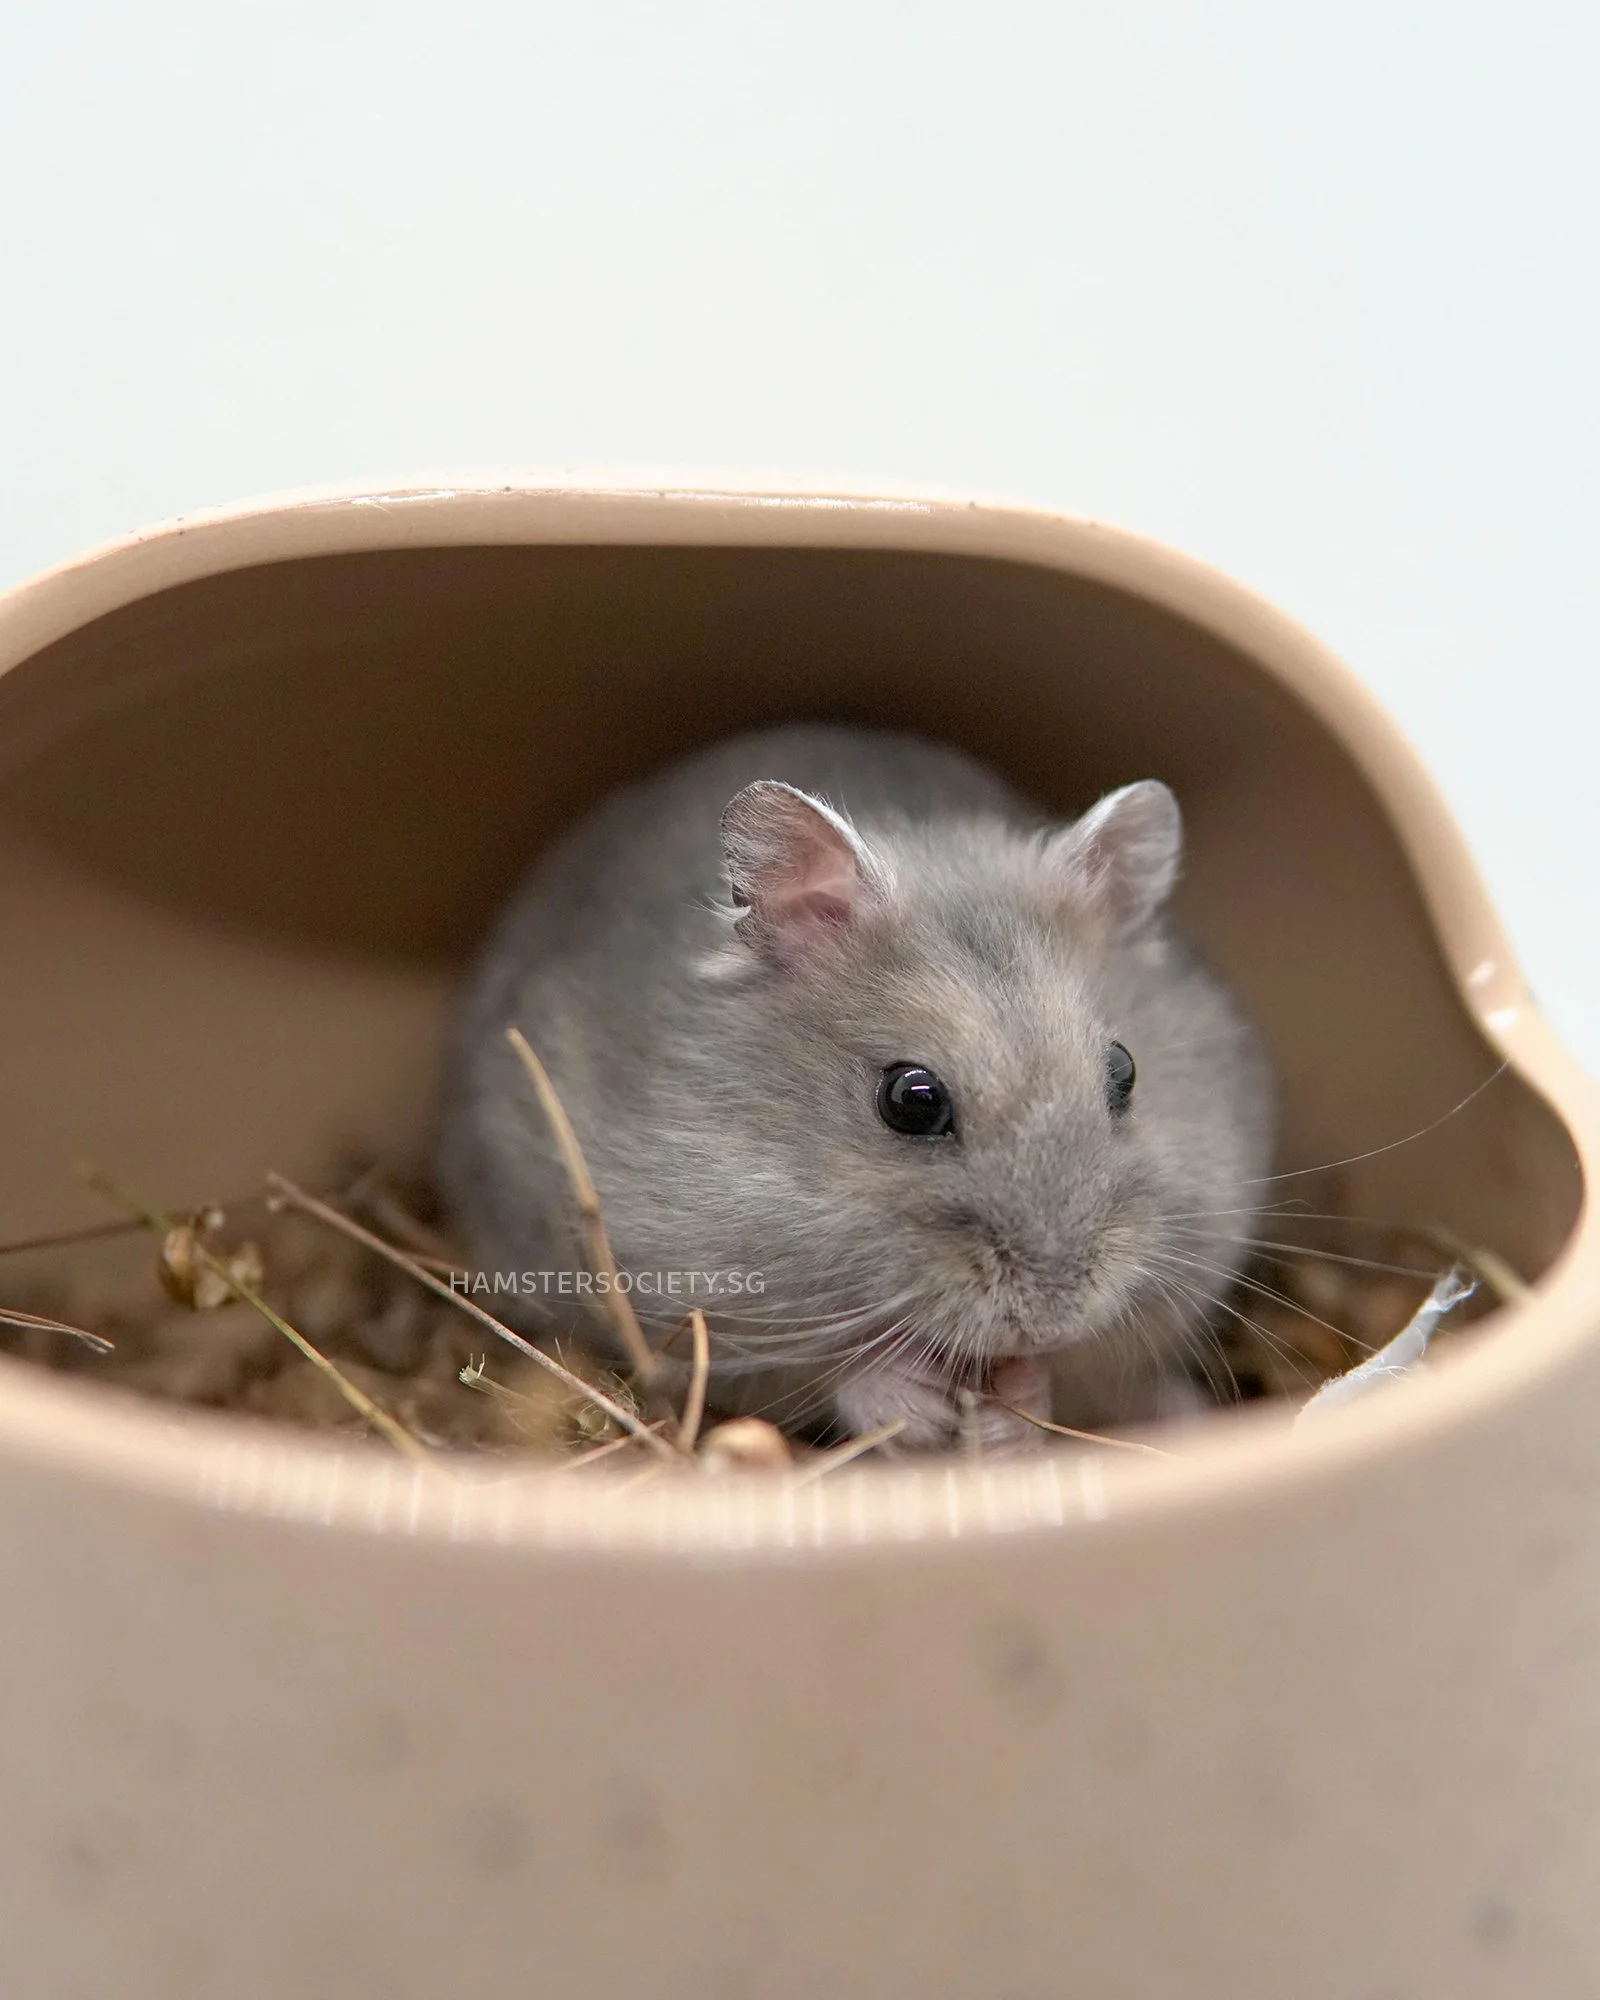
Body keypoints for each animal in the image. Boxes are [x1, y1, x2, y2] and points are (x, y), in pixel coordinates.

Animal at [437, 725, 1274, 1452]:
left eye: (1125, 1072)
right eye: (911, 1100)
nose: (1052, 1311)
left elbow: (1074, 1370)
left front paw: (1014, 1404)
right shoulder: (696, 1292)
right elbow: (836, 1371)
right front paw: (922, 1406)